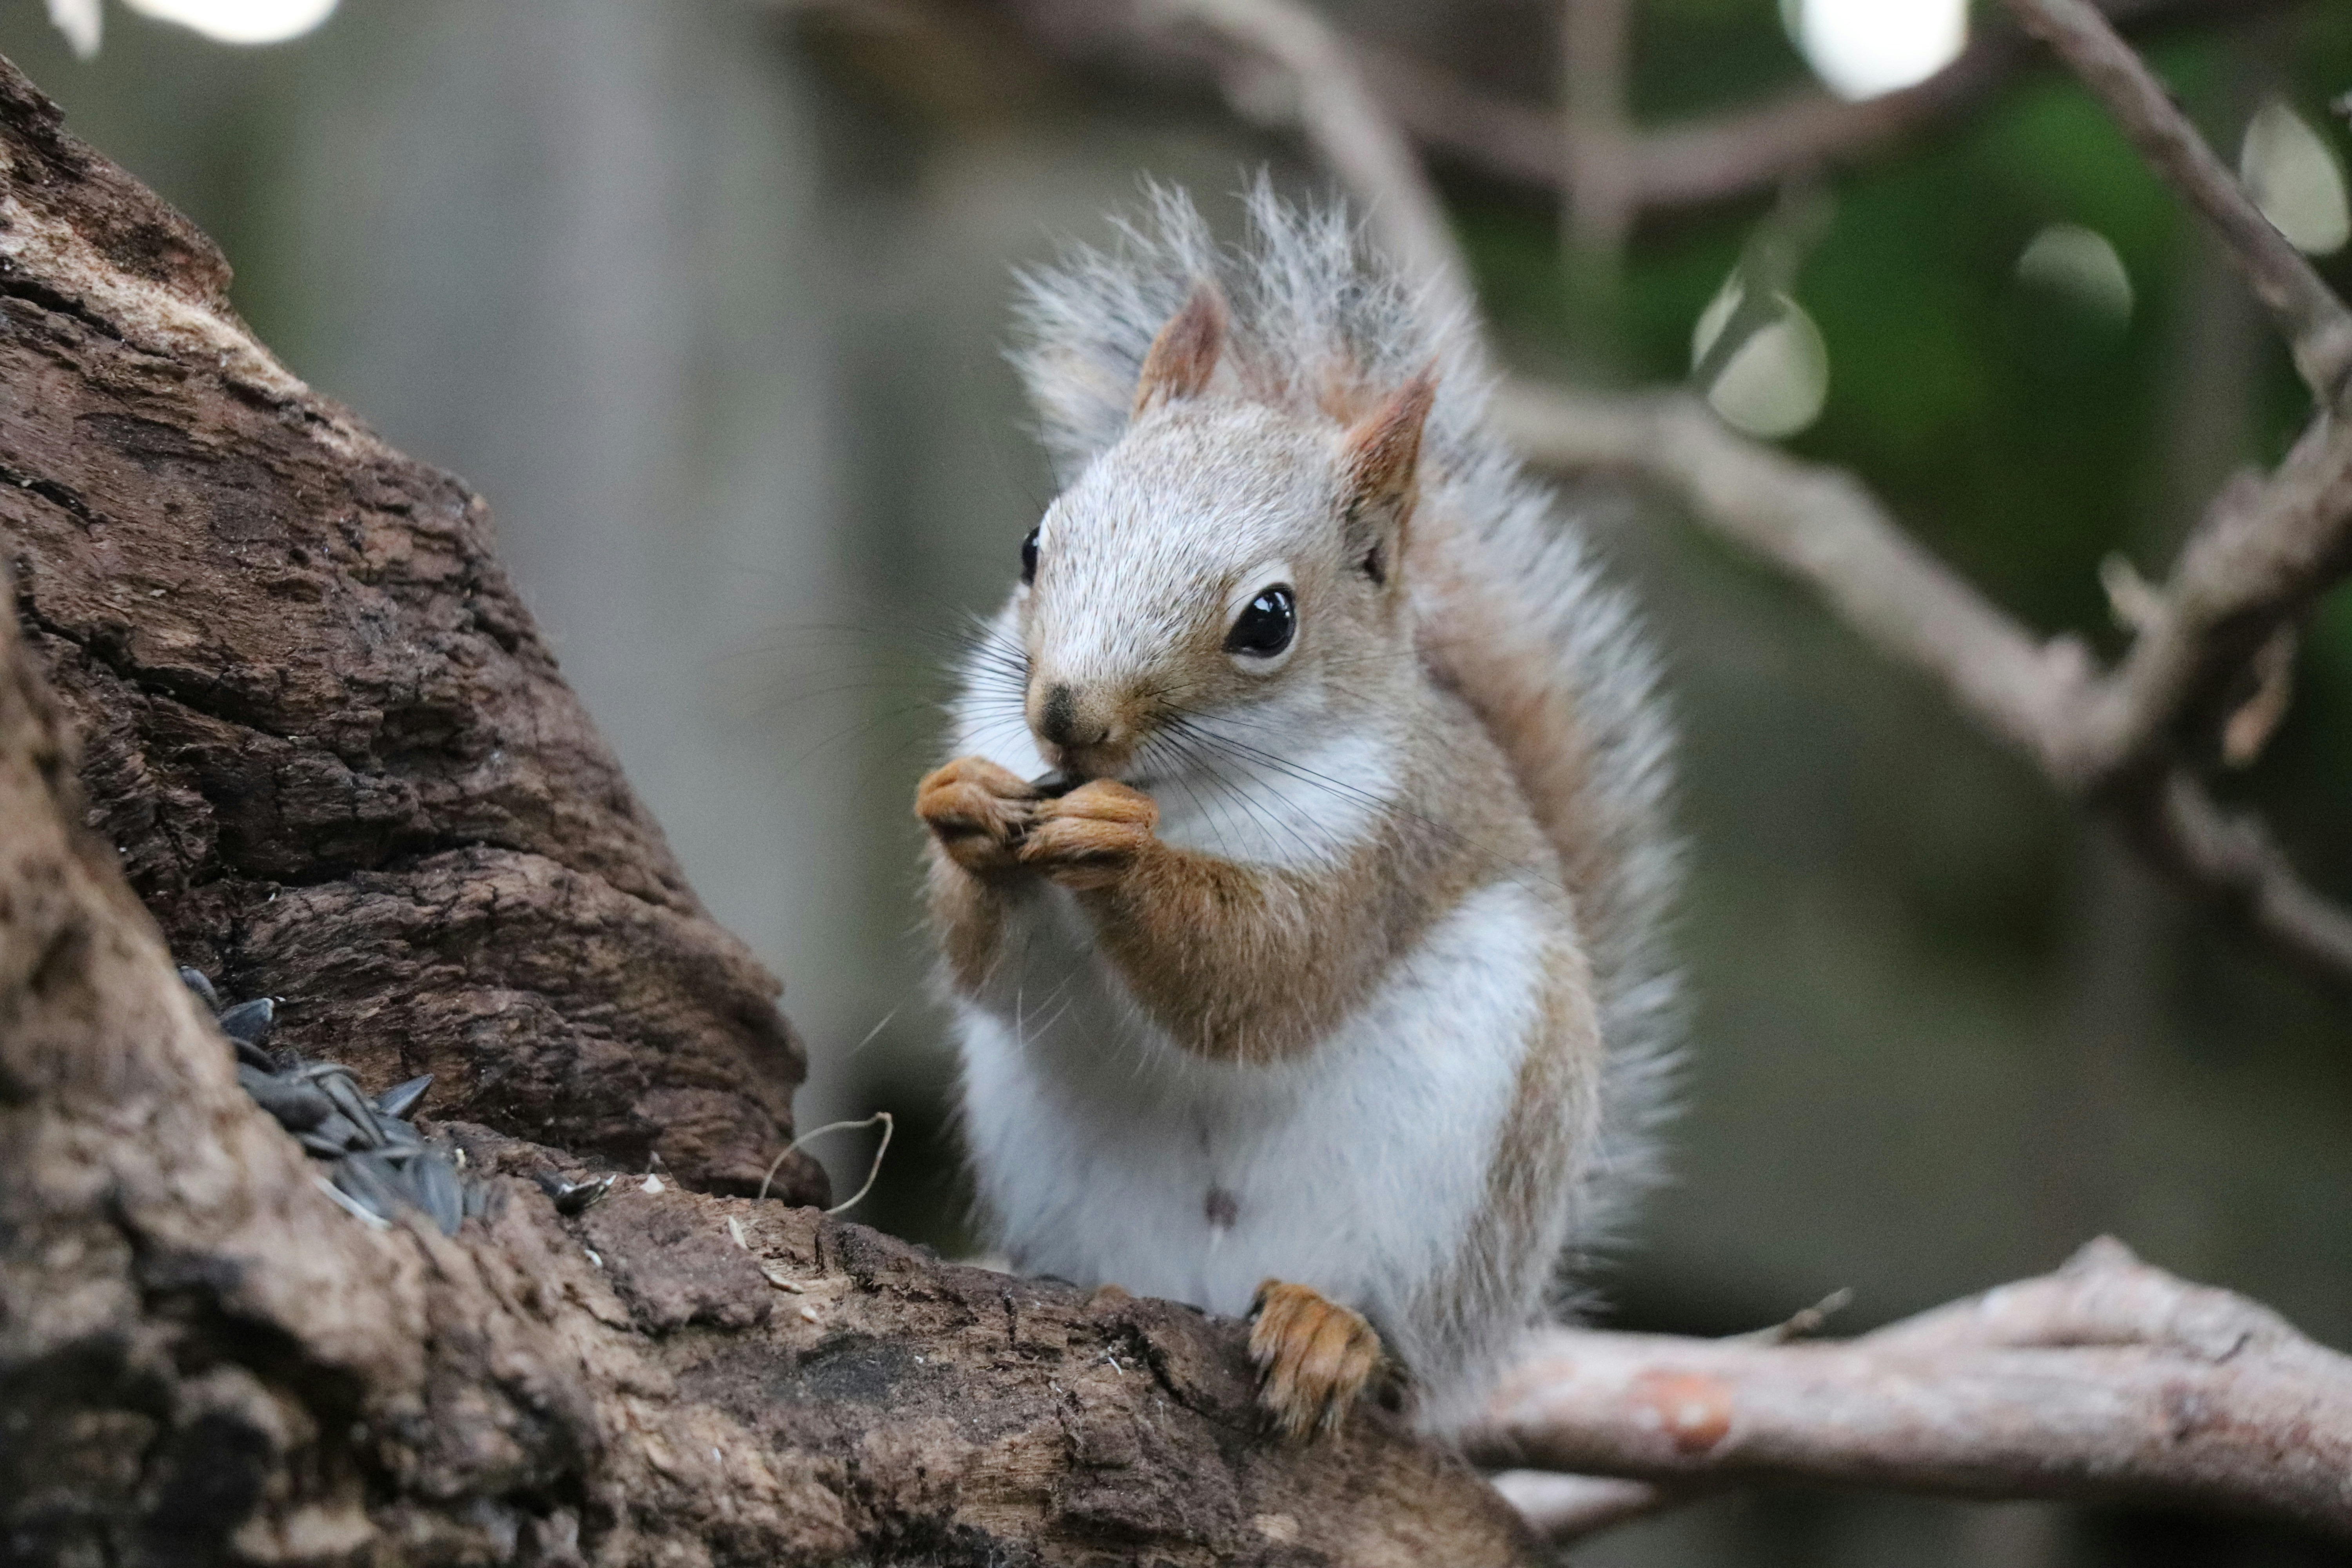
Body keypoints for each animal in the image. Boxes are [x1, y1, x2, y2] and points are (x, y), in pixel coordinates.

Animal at [914, 184, 1678, 1439]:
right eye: (1035, 542)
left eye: (1268, 620)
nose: (1067, 718)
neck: (1180, 794)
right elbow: (996, 973)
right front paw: (965, 806)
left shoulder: (1384, 848)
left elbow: (1267, 979)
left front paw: (1124, 858)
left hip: (1470, 1186)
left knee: (1404, 1344)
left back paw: (1335, 1333)